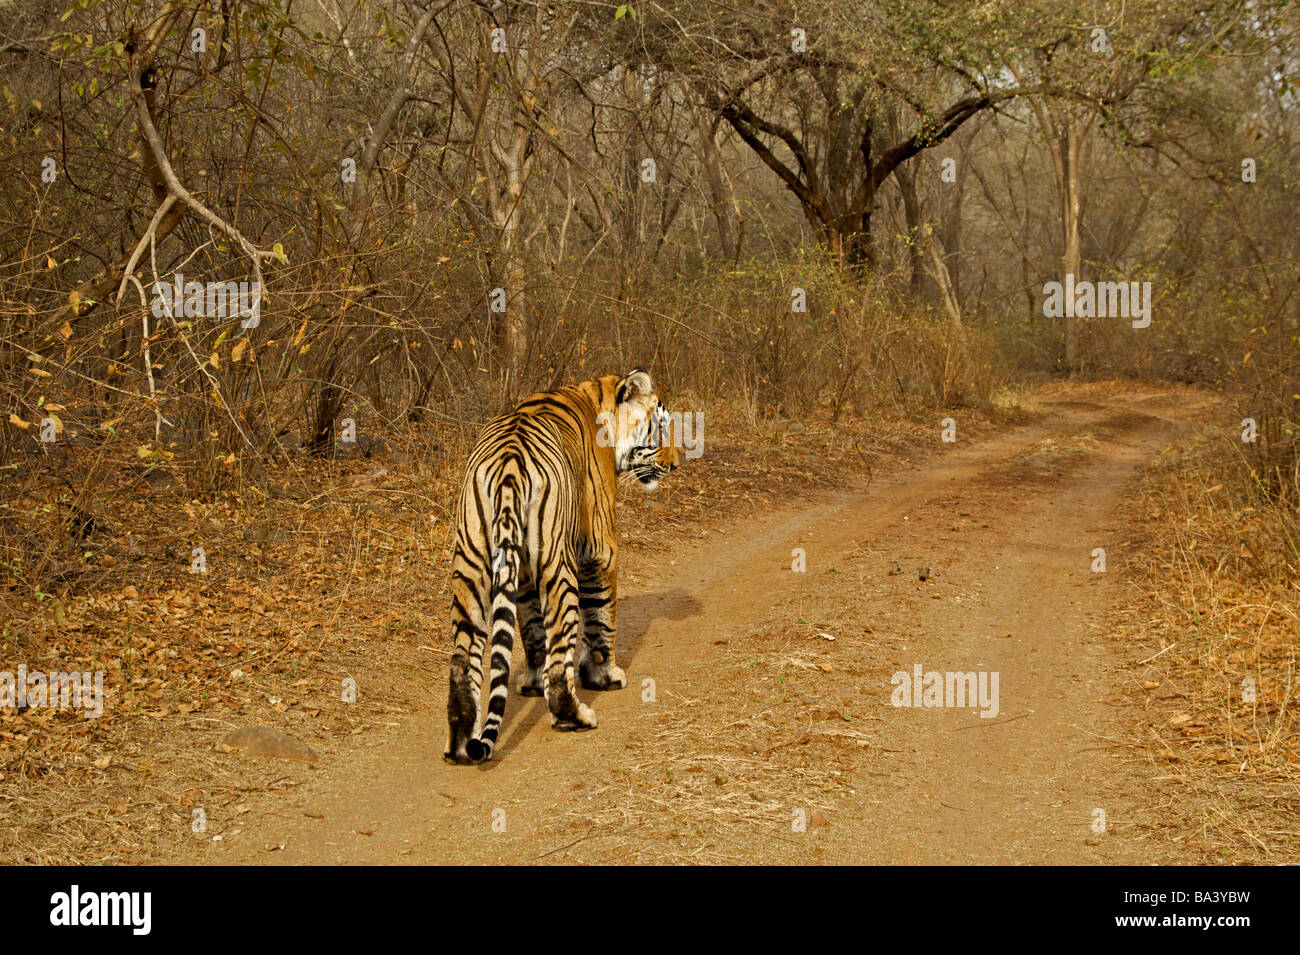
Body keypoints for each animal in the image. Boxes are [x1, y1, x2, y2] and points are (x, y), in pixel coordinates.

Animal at [444, 367, 680, 764]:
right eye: (661, 428)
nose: (677, 463)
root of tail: (509, 466)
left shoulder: (524, 575)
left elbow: (531, 632)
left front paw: (530, 682)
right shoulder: (599, 547)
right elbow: (601, 620)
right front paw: (604, 676)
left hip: (472, 565)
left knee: (463, 660)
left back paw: (461, 744)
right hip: (557, 565)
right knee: (561, 651)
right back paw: (575, 716)